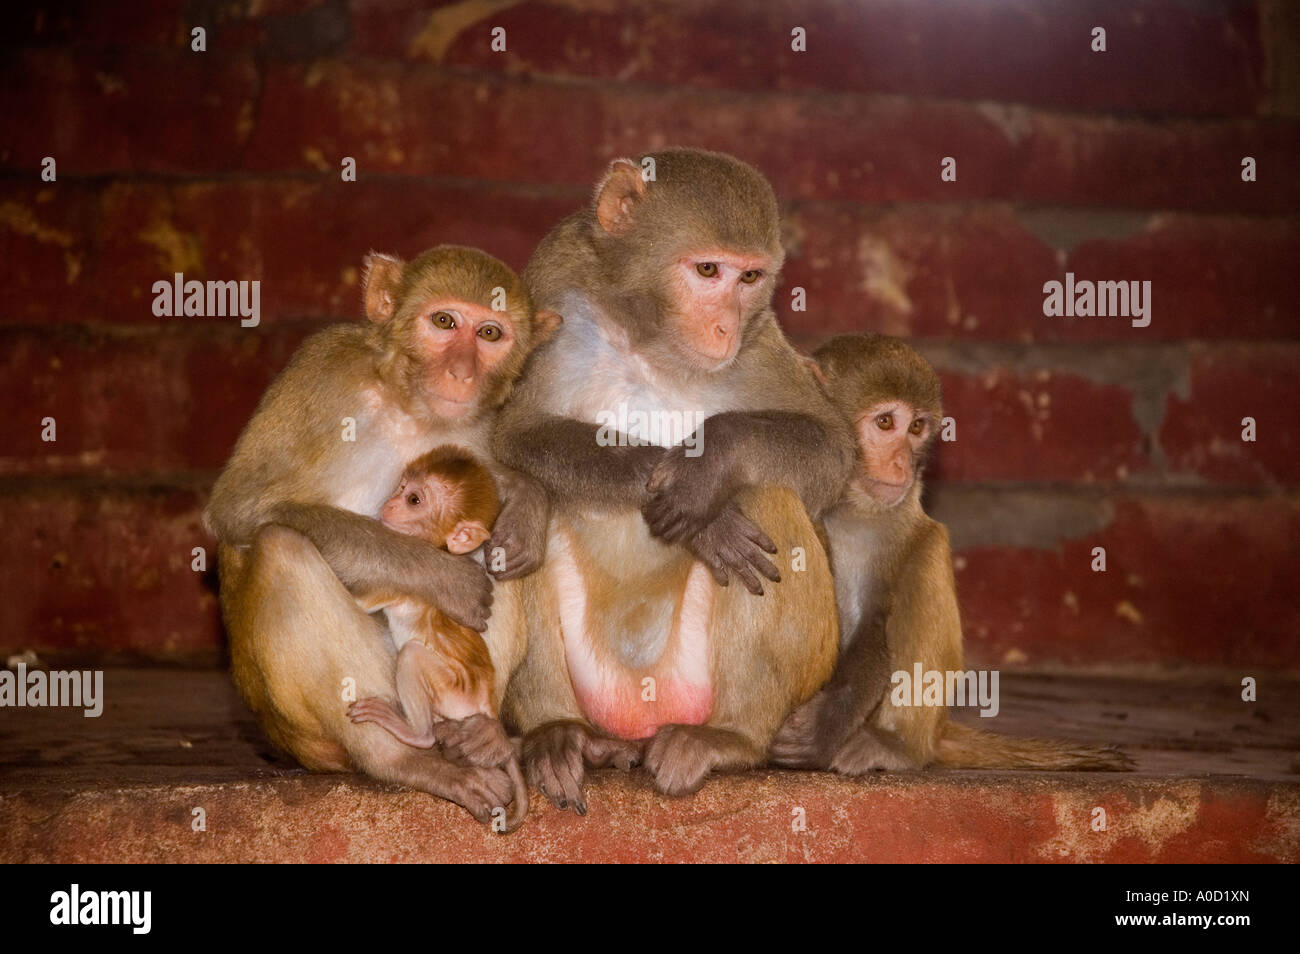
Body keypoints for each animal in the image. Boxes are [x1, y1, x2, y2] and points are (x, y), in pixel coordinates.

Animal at [205, 245, 561, 828]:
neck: (409, 407)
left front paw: (528, 498)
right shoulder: (325, 371)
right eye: (444, 322)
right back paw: (401, 758)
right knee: (282, 549)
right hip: (318, 729)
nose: (461, 373)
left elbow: (498, 509)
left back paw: (481, 733)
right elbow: (240, 508)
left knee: (506, 550)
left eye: (490, 333)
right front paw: (443, 578)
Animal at [493, 148, 854, 811]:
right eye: (707, 269)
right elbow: (512, 435)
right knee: (528, 518)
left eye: (750, 278)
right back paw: (558, 732)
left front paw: (704, 472)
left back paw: (730, 738)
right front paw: (691, 510)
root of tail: (641, 713)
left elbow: (831, 449)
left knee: (766, 493)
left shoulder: (759, 337)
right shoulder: (558, 285)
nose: (724, 330)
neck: (651, 343)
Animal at [769, 334, 1133, 773]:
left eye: (917, 427)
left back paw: (898, 746)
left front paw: (822, 730)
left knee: (929, 550)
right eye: (886, 423)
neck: (848, 505)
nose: (902, 464)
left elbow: (878, 619)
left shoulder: (899, 519)